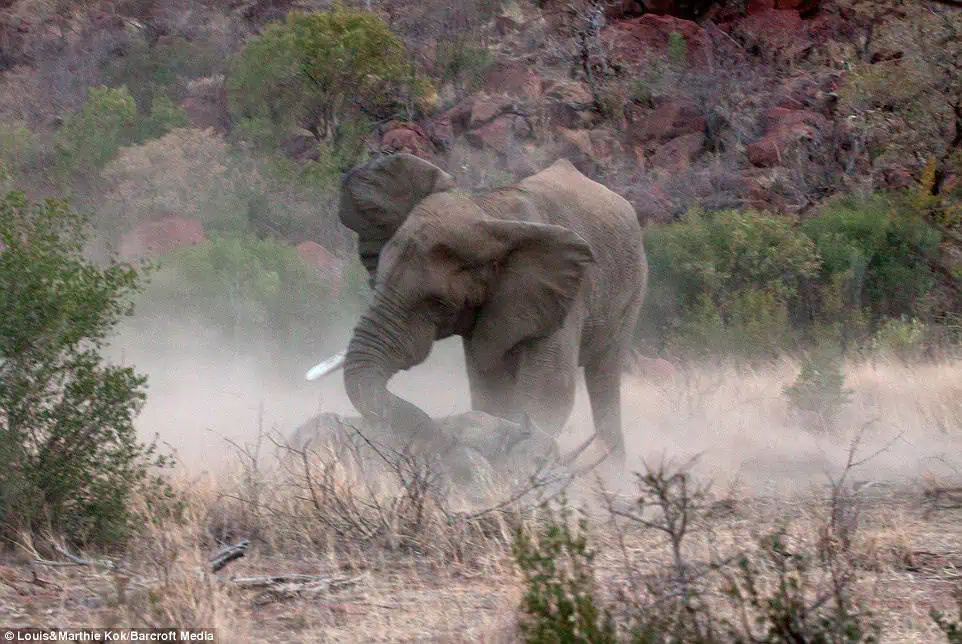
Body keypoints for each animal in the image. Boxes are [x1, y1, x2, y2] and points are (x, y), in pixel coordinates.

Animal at [329, 153, 648, 469]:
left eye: (437, 303)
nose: (444, 436)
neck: (488, 214)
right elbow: (491, 389)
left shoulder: (565, 295)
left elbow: (551, 392)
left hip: (632, 291)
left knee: (603, 377)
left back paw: (612, 472)